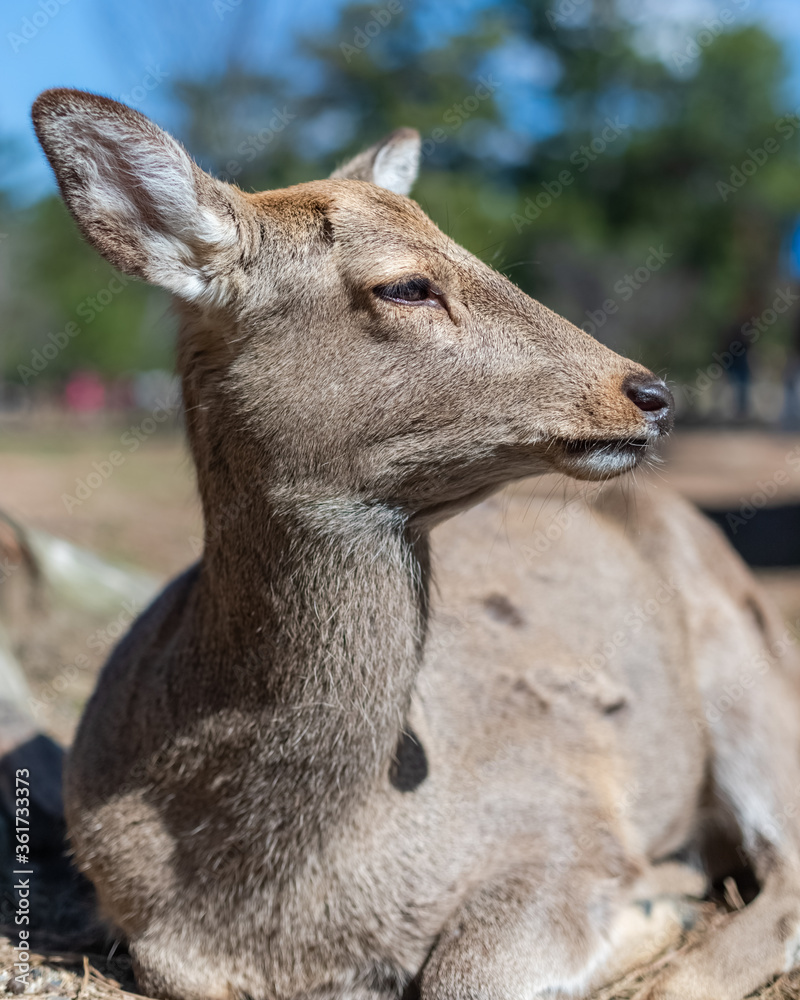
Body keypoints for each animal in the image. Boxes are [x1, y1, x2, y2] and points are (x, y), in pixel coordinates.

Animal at [30, 87, 800, 1000]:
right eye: (406, 285)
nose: (648, 392)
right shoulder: (151, 938)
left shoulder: (561, 802)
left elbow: (468, 970)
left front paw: (649, 907)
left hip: (748, 668)